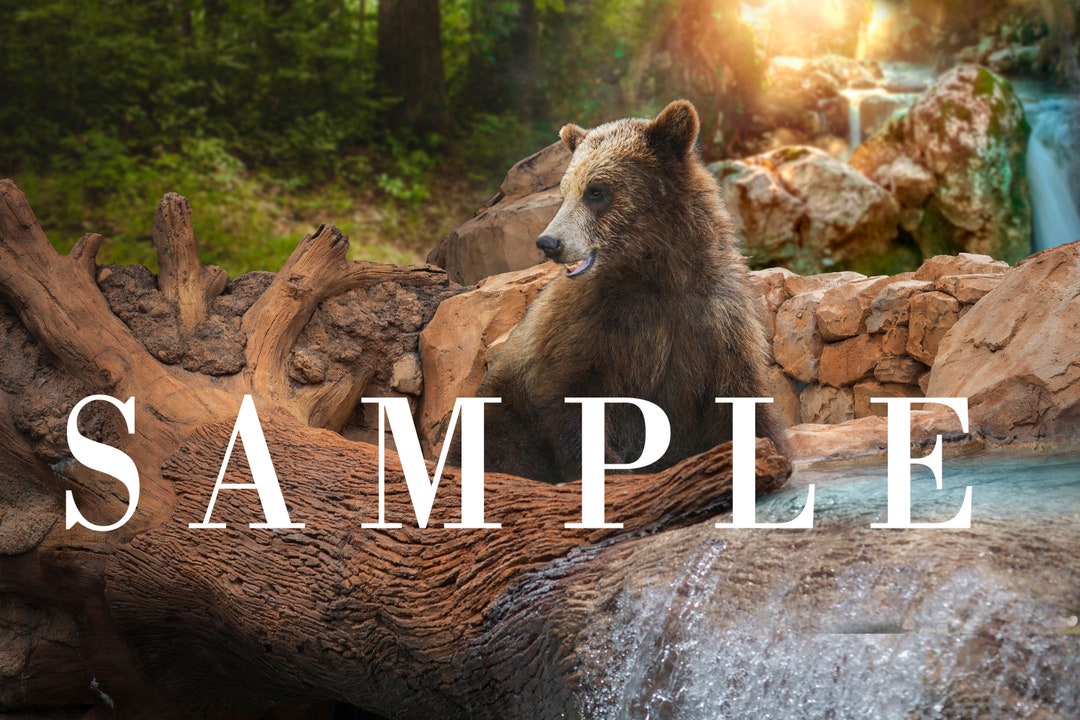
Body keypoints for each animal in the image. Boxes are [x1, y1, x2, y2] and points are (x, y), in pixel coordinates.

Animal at [473, 99, 787, 484]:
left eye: (595, 191)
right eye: (565, 192)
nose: (549, 243)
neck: (655, 272)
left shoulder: (716, 319)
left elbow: (740, 397)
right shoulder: (592, 329)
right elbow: (575, 403)